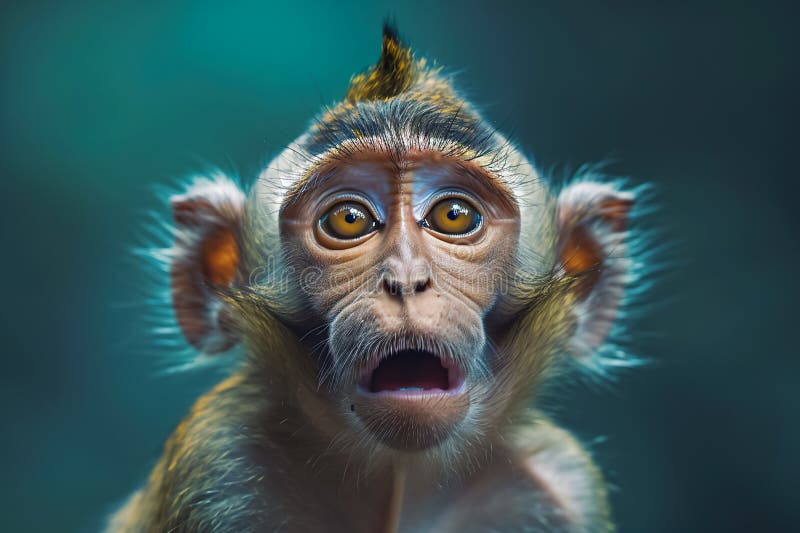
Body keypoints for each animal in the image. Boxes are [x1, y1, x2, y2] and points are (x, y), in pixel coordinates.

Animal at [107, 24, 644, 533]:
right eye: (349, 219)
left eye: (453, 215)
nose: (405, 280)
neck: (399, 481)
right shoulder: (214, 467)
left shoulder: (568, 486)